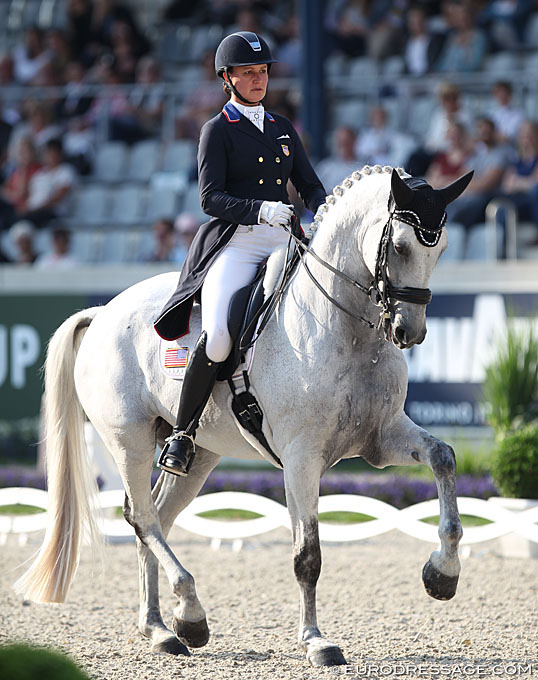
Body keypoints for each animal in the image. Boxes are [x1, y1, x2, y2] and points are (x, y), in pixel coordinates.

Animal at [15, 165, 473, 668]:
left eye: (441, 249)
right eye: (401, 247)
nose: (409, 332)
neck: (345, 328)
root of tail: (103, 313)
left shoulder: (381, 437)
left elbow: (443, 458)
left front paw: (442, 574)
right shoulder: (301, 458)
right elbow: (308, 554)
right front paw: (316, 641)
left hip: (198, 454)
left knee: (158, 515)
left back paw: (161, 629)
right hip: (128, 440)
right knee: (143, 518)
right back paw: (190, 614)